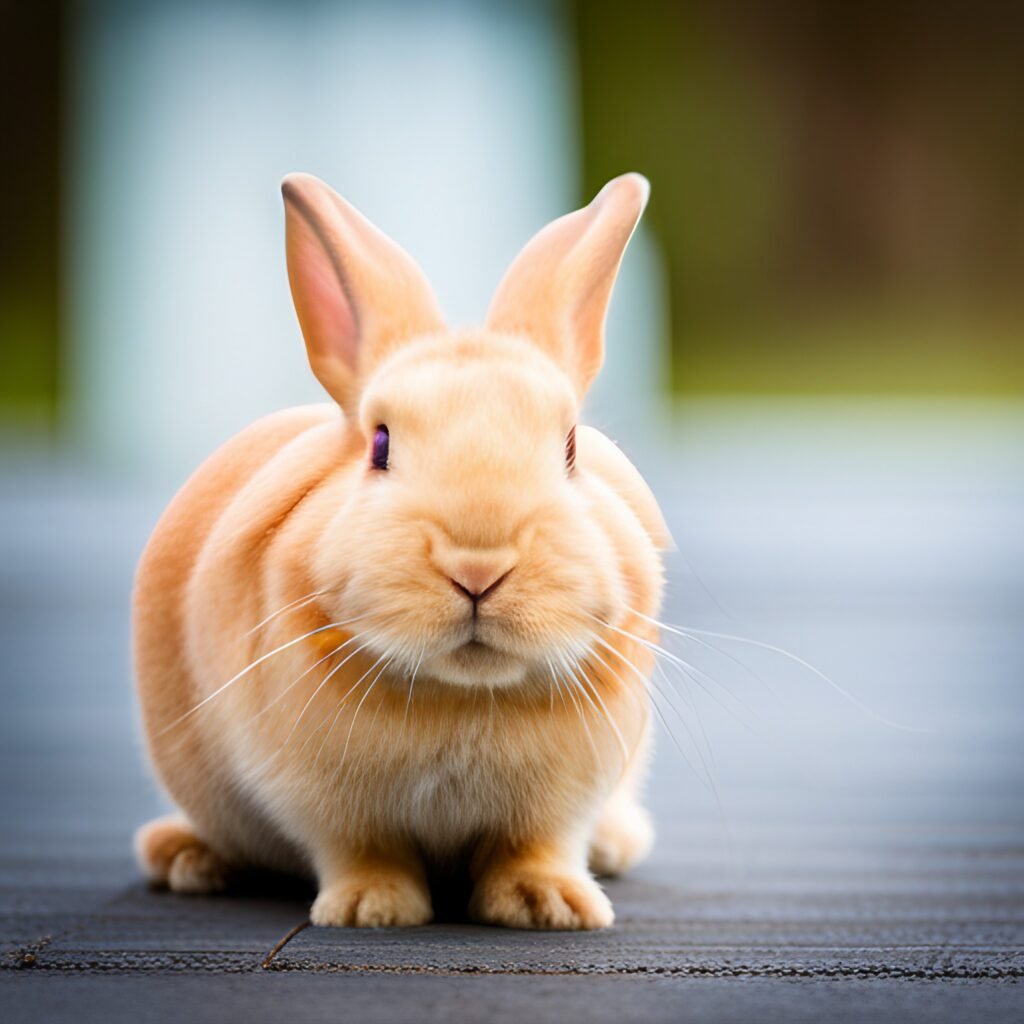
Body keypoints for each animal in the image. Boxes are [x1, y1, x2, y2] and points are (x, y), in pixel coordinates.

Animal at [133, 171, 670, 930]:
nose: (478, 566)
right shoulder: (324, 799)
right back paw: (185, 858)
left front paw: (550, 905)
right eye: (380, 445)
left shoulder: (561, 799)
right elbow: (362, 850)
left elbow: (535, 846)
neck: (464, 695)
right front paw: (371, 909)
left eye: (570, 449)